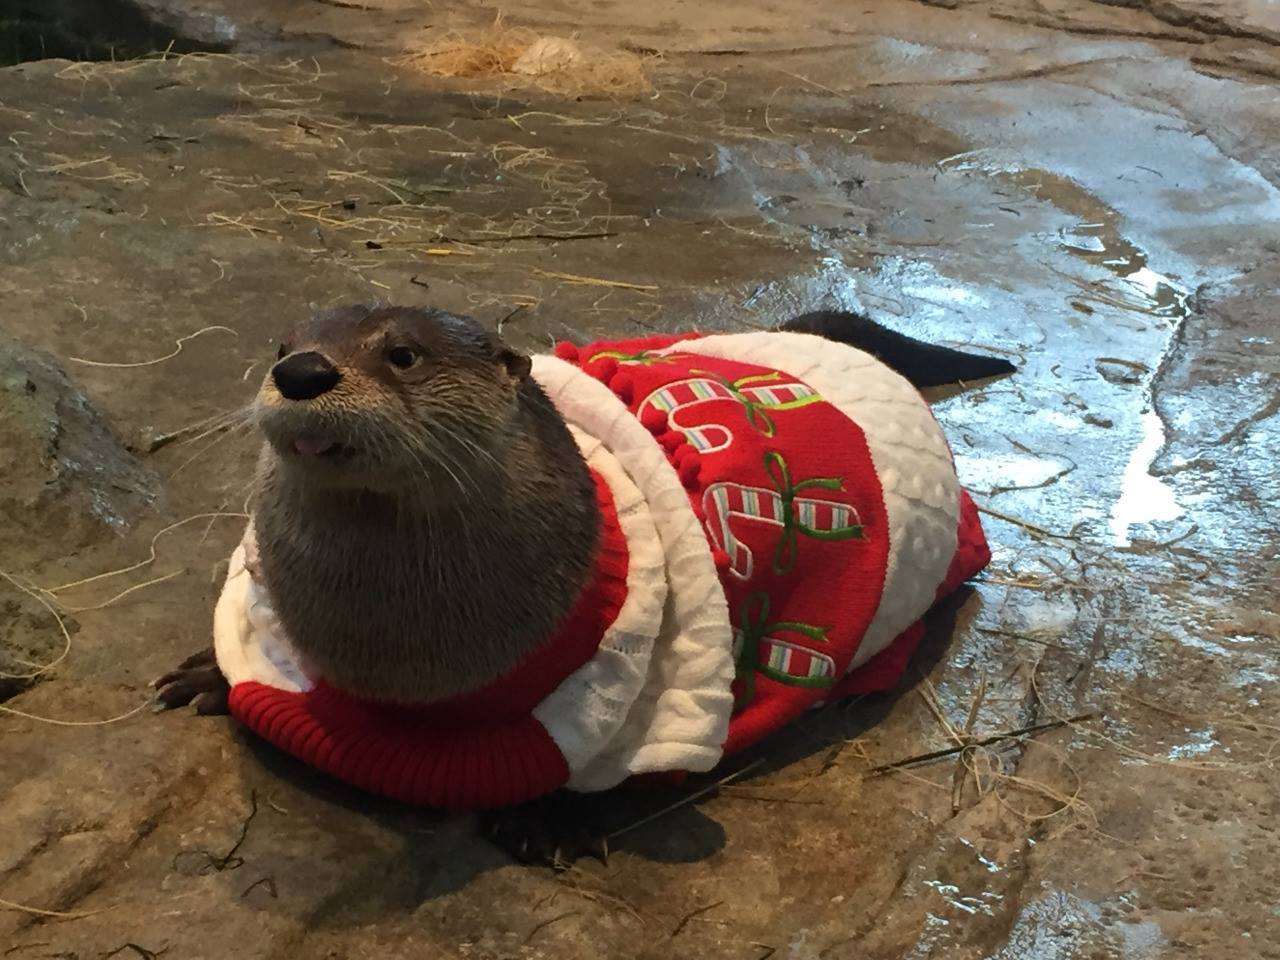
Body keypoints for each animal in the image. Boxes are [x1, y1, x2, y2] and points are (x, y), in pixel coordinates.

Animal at [156, 303, 1013, 862]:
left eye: (402, 354)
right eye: (283, 343)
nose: (299, 372)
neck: (396, 659)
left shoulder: (649, 679)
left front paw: (549, 819)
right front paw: (209, 674)